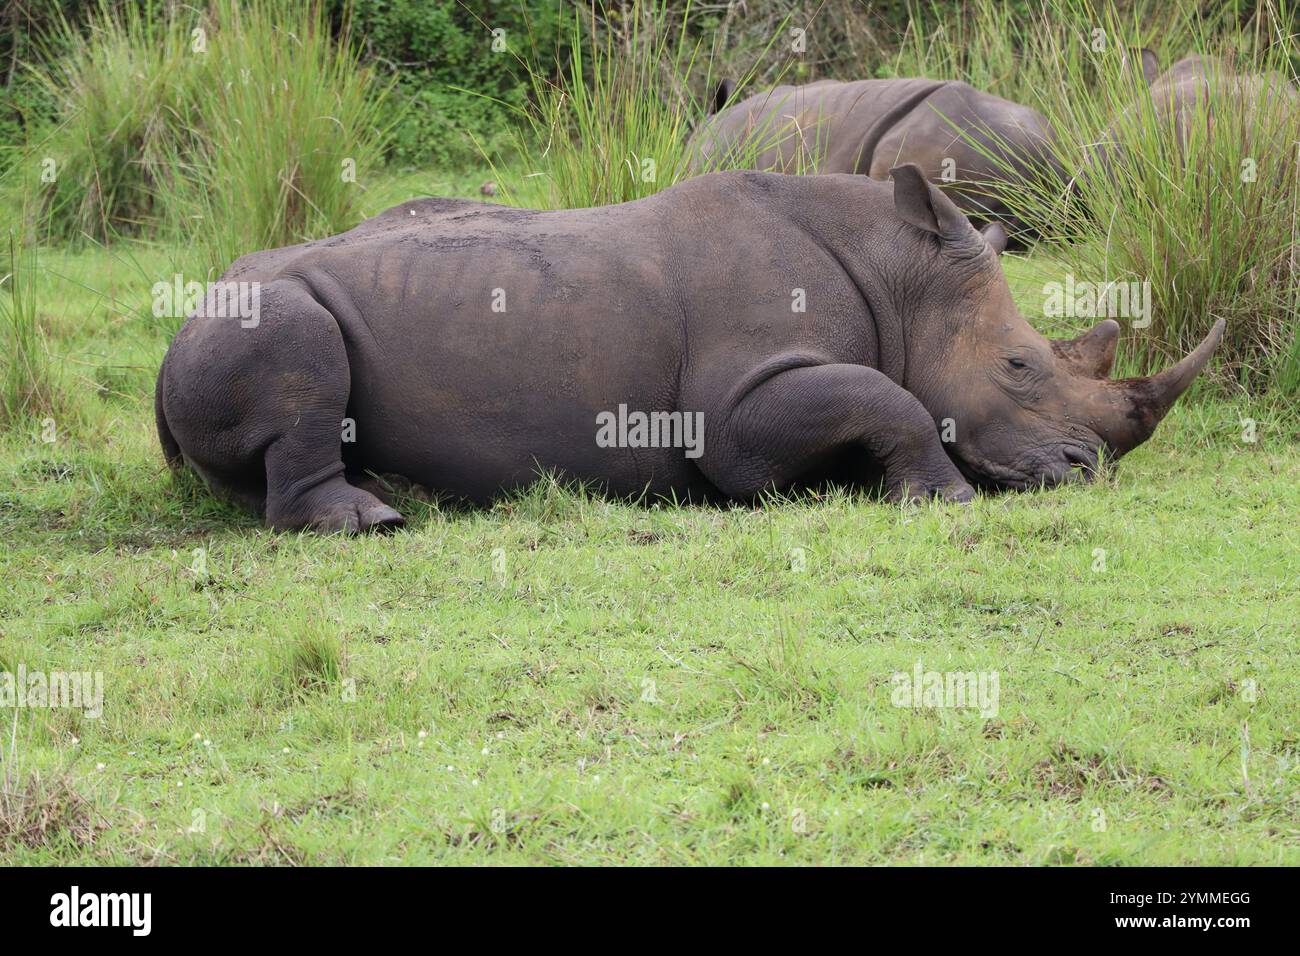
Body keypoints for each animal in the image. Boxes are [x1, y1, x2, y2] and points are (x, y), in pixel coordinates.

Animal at [155, 165, 1223, 532]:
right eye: (1019, 368)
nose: (1086, 469)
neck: (902, 273)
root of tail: (177, 323)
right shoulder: (739, 406)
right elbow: (896, 399)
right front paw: (942, 499)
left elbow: (884, 401)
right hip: (249, 311)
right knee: (296, 343)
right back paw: (371, 520)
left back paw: (394, 494)